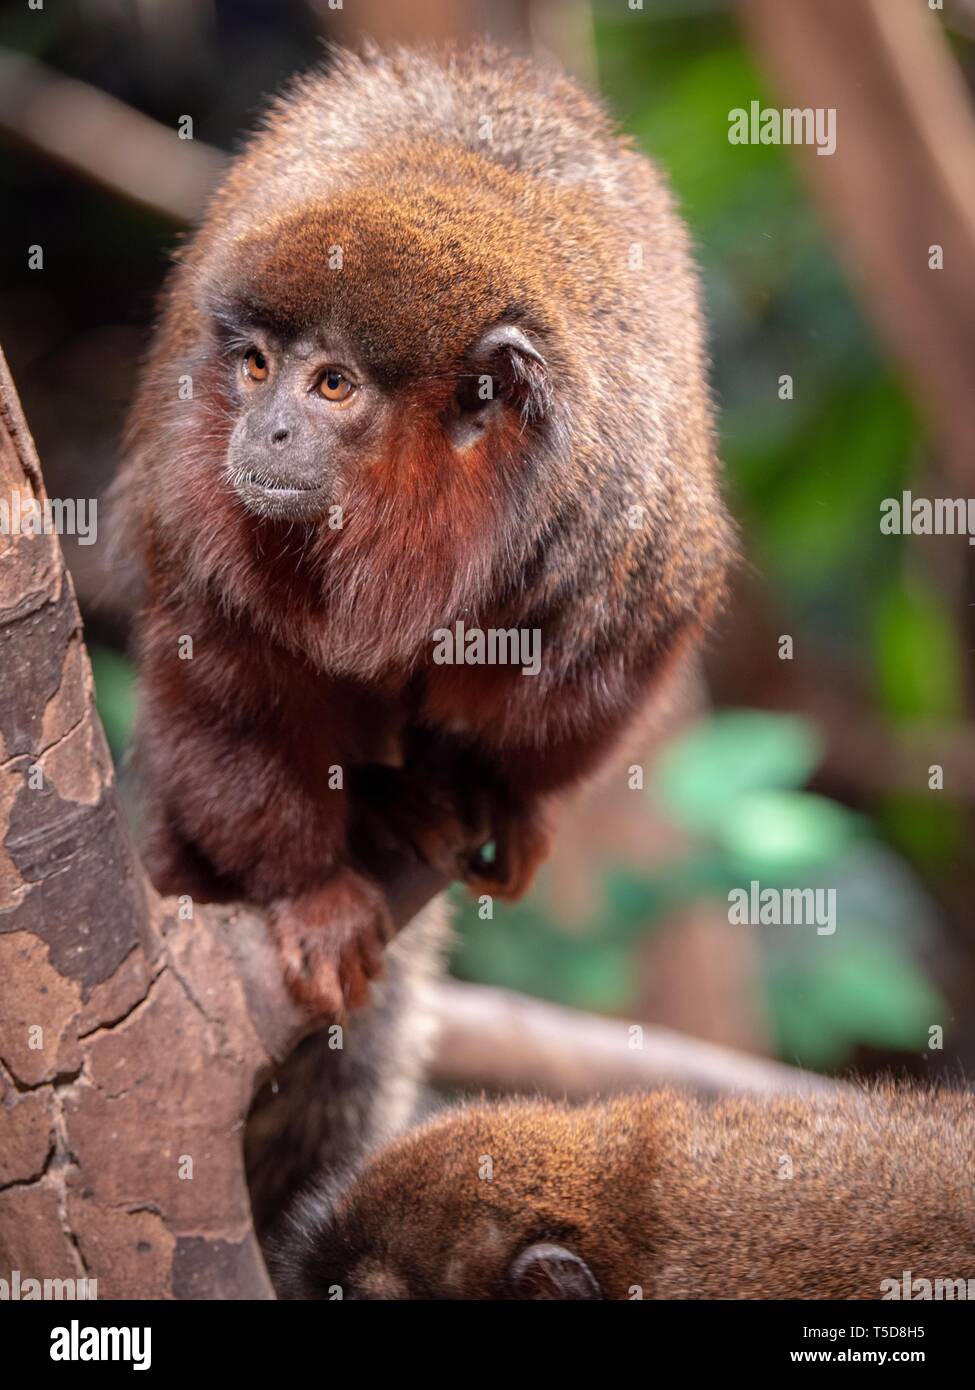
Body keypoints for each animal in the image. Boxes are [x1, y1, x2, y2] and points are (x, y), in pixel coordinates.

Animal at [114, 41, 732, 1020]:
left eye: (332, 385)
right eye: (256, 367)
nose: (264, 431)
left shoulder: (618, 540)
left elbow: (603, 675)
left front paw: (507, 798)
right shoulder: (194, 519)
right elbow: (224, 690)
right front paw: (312, 891)